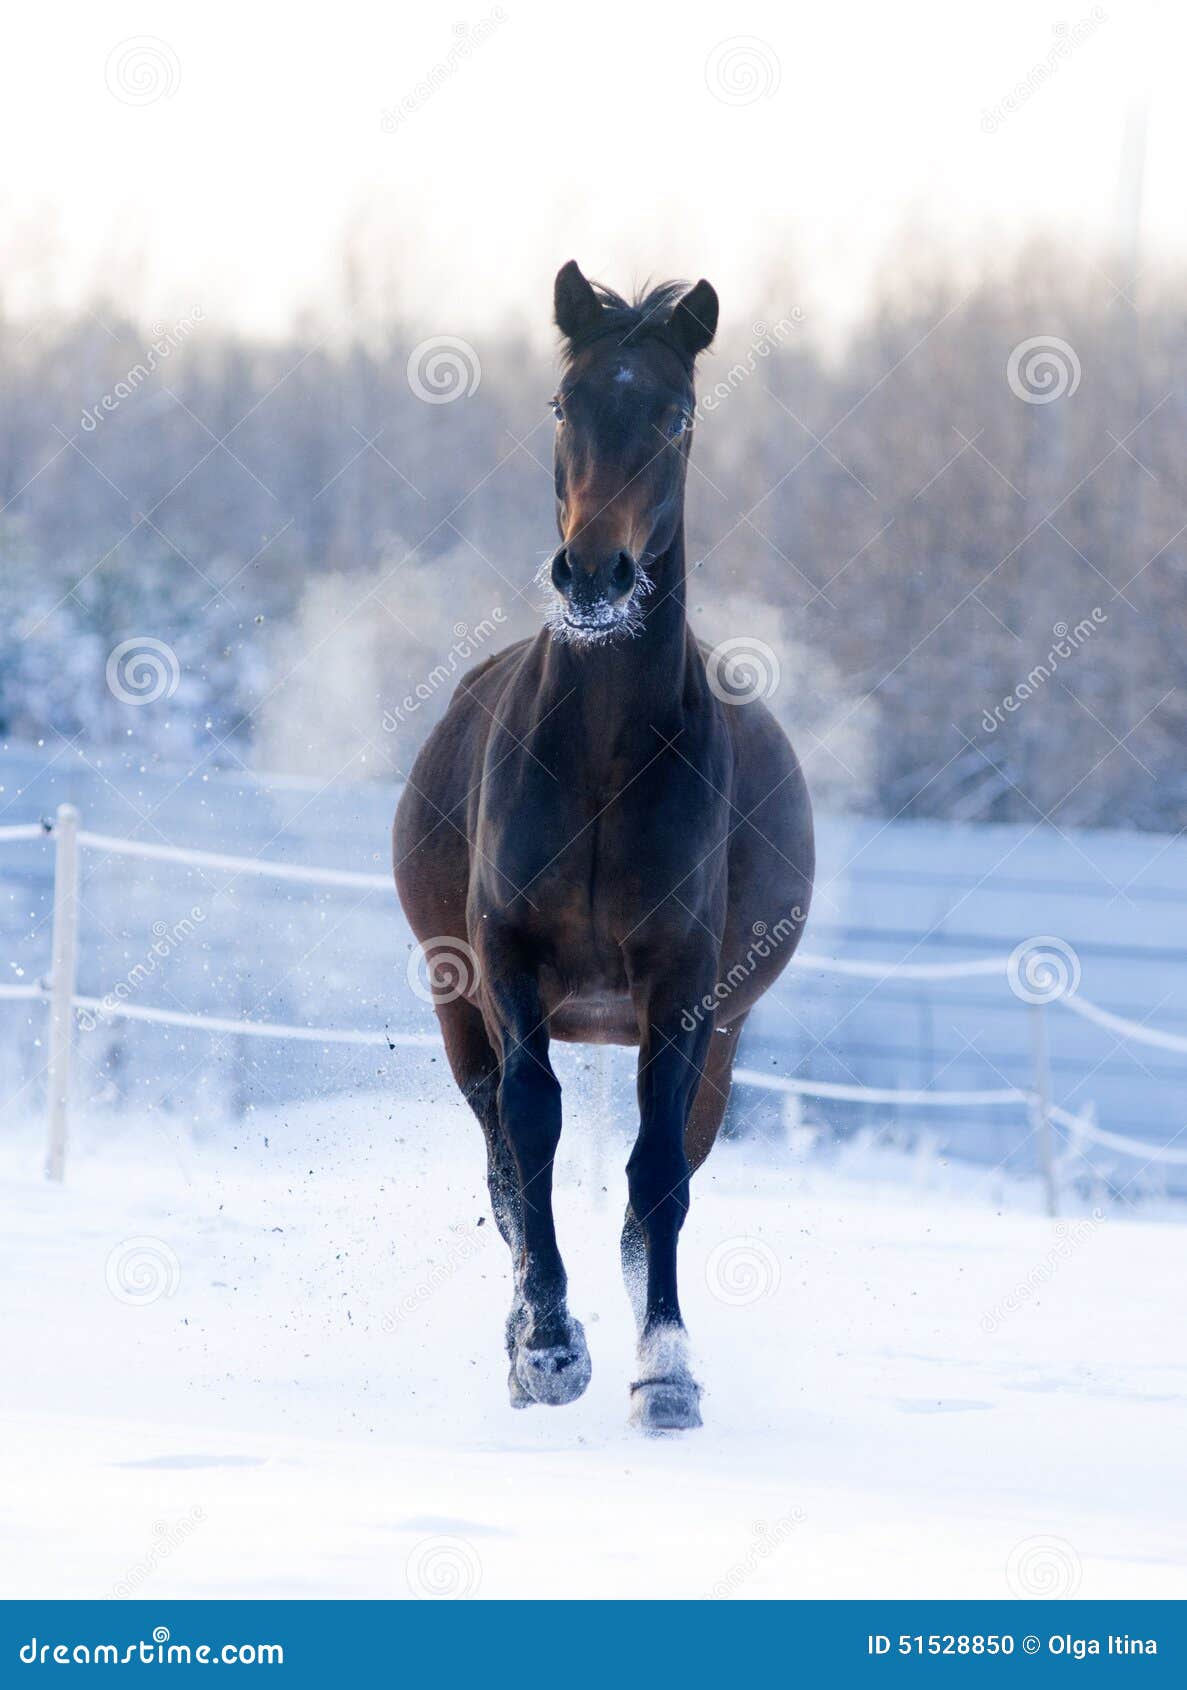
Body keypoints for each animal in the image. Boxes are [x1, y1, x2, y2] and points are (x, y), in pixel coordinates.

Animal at [393, 261, 814, 1431]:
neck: (601, 758)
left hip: (718, 1034)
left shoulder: (683, 986)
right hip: (458, 1008)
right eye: (560, 404)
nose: (593, 575)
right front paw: (547, 1346)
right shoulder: (506, 961)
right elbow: (530, 1134)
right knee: (501, 1164)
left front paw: (664, 1372)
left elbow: (656, 1172)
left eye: (675, 415)